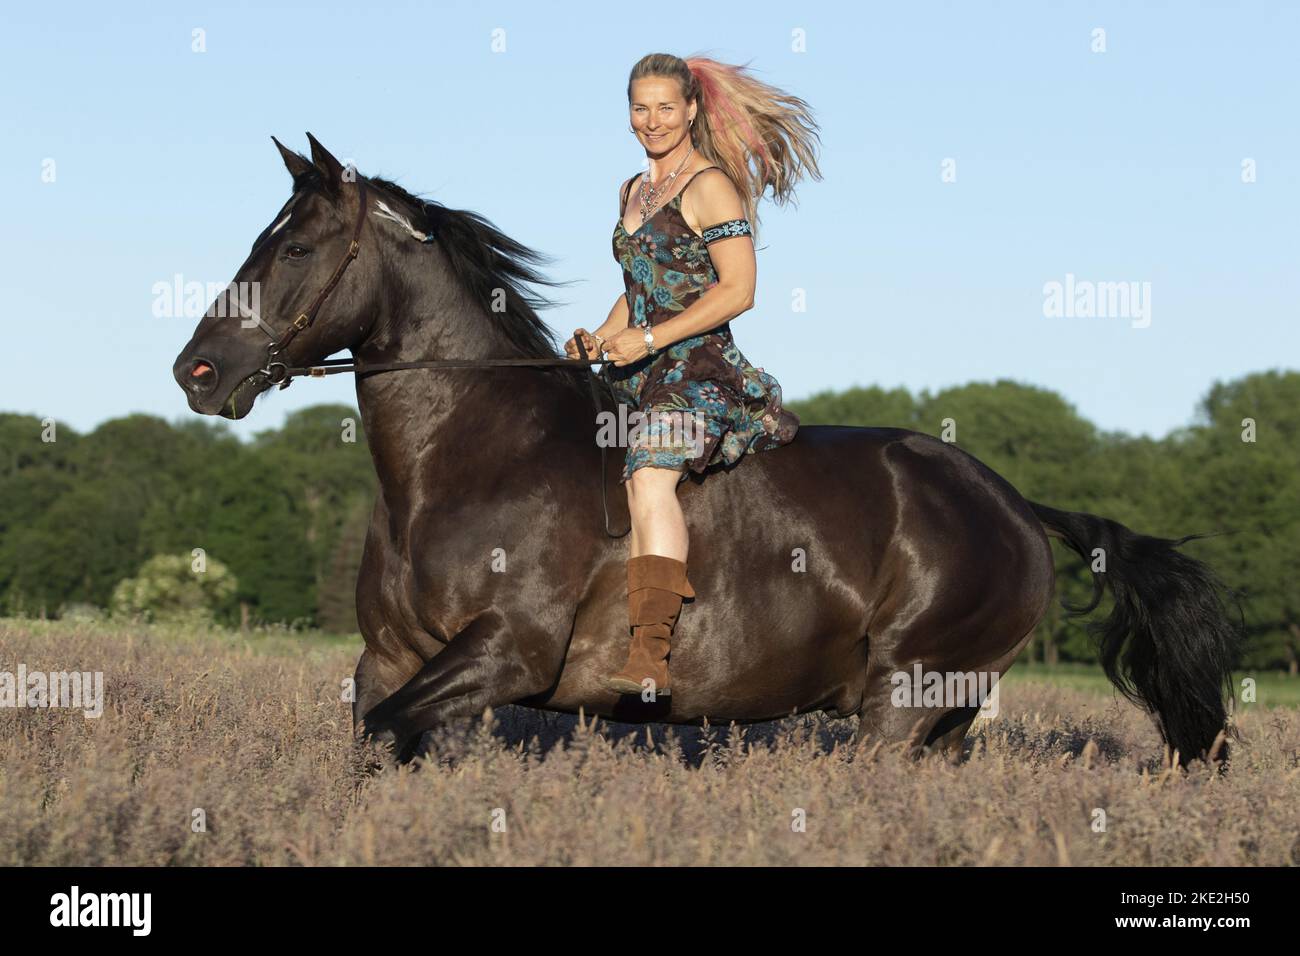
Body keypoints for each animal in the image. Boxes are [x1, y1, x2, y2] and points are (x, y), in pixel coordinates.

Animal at [174, 134, 1242, 767]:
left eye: (296, 248)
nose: (196, 371)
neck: (456, 460)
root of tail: (1017, 505)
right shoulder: (392, 658)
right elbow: (378, 742)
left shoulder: (507, 652)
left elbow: (384, 735)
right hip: (943, 719)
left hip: (907, 696)